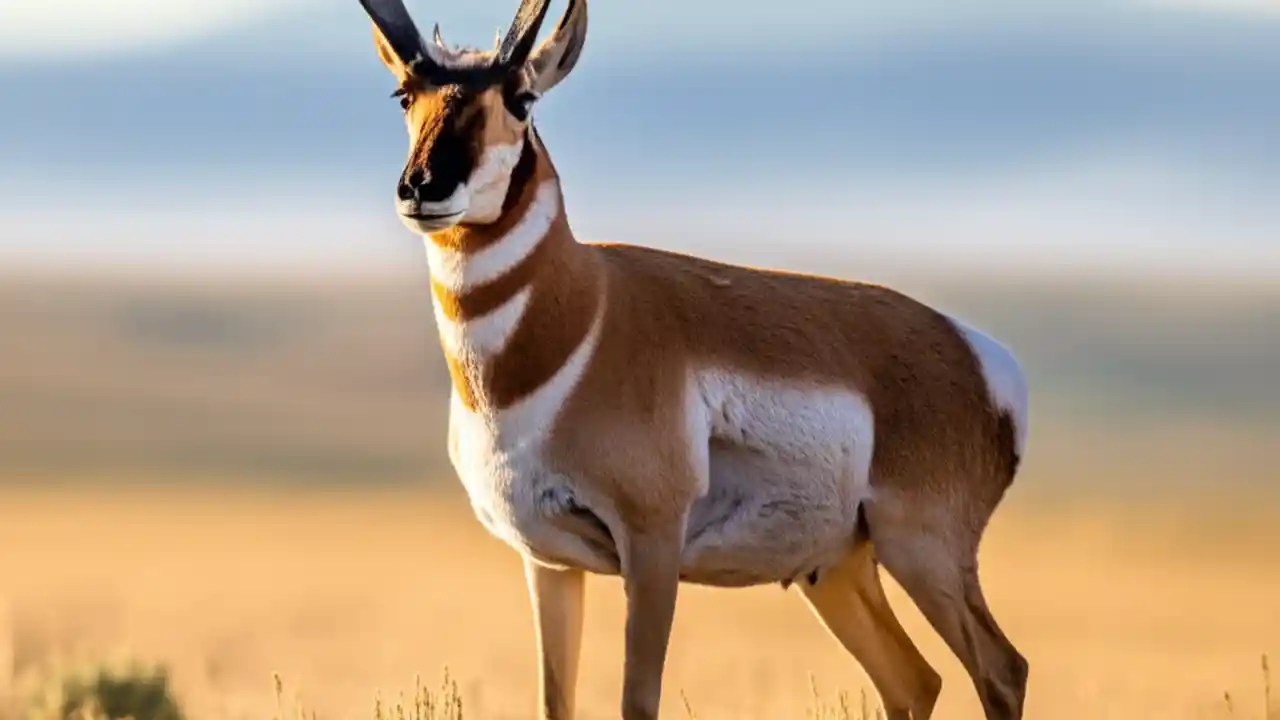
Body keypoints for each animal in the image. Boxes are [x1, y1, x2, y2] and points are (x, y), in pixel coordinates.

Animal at [355, 0, 1030, 717]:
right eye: (406, 94)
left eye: (521, 98)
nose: (422, 187)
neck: (582, 320)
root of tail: (979, 355)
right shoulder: (549, 563)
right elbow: (554, 700)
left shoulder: (651, 546)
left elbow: (637, 699)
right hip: (838, 569)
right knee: (914, 679)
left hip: (922, 552)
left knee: (1000, 668)